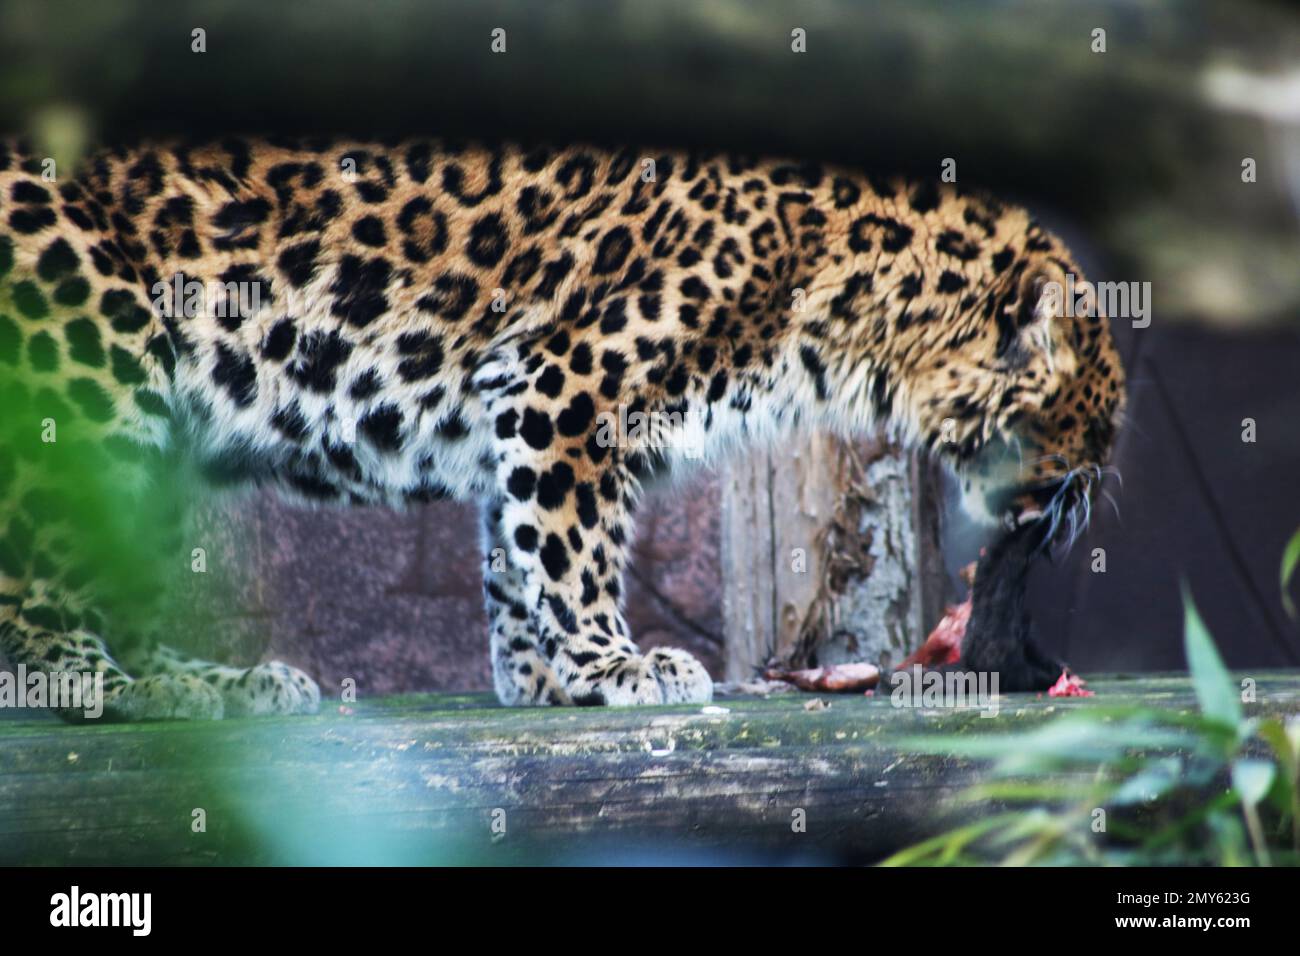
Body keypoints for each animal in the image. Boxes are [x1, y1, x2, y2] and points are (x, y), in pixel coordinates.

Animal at [0, 136, 1125, 720]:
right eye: (1096, 416)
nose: (1095, 484)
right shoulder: (567, 382)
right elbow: (573, 542)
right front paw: (620, 665)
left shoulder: (518, 406)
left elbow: (512, 543)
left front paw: (540, 676)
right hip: (99, 358)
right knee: (36, 620)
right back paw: (134, 687)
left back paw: (215, 683)